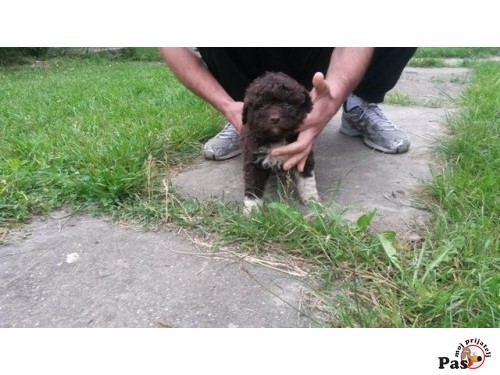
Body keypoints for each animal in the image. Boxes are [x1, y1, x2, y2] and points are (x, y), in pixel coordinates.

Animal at [240, 72, 318, 213]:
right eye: (262, 106)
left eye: (288, 104)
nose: (275, 119)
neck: (277, 138)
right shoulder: (253, 158)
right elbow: (253, 186)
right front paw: (252, 210)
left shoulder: (303, 154)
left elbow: (307, 178)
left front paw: (312, 200)